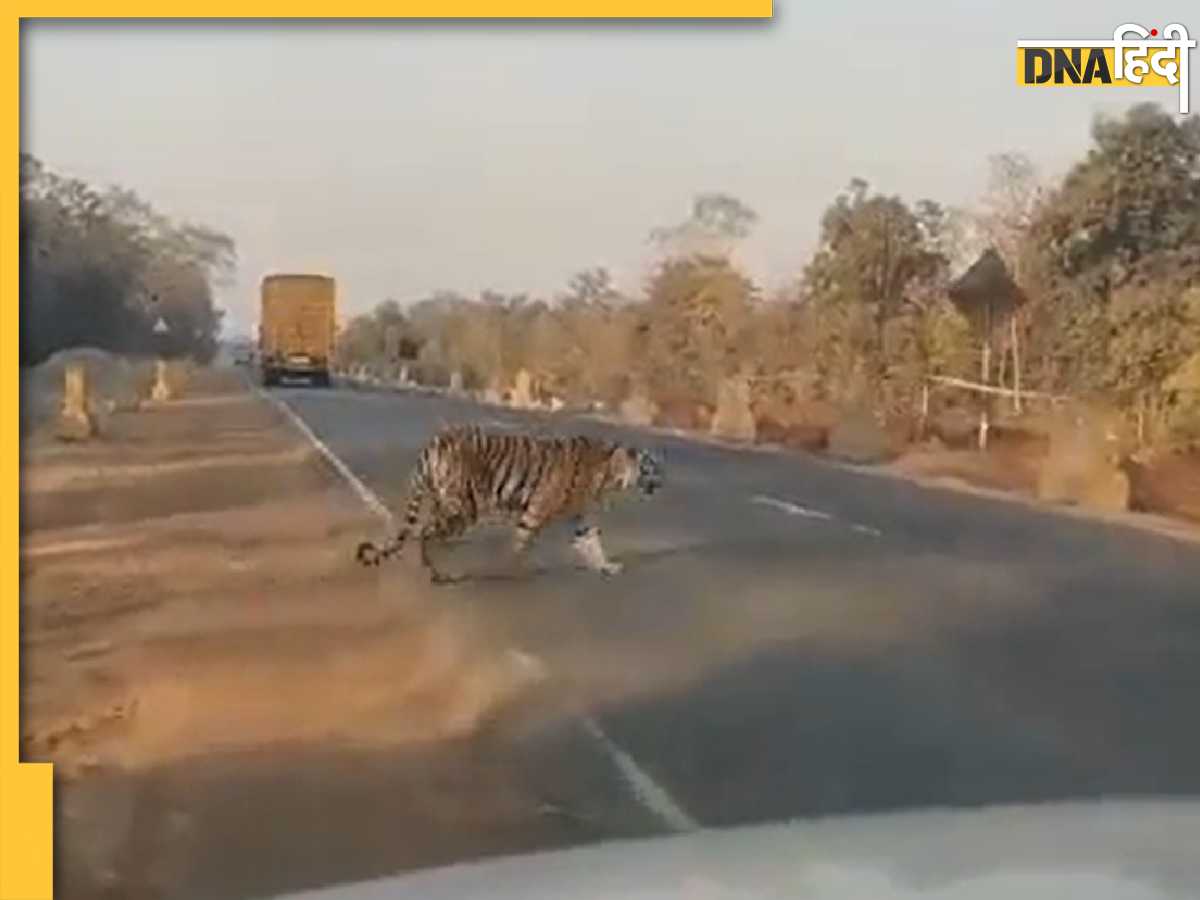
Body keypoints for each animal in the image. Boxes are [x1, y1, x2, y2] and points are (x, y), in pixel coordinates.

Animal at [355, 425, 664, 583]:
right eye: (651, 468)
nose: (663, 482)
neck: (610, 474)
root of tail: (435, 442)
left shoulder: (579, 518)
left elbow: (592, 543)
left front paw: (607, 567)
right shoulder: (539, 508)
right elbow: (521, 541)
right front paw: (514, 570)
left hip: (446, 502)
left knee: (428, 532)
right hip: (464, 508)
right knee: (426, 532)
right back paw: (439, 572)